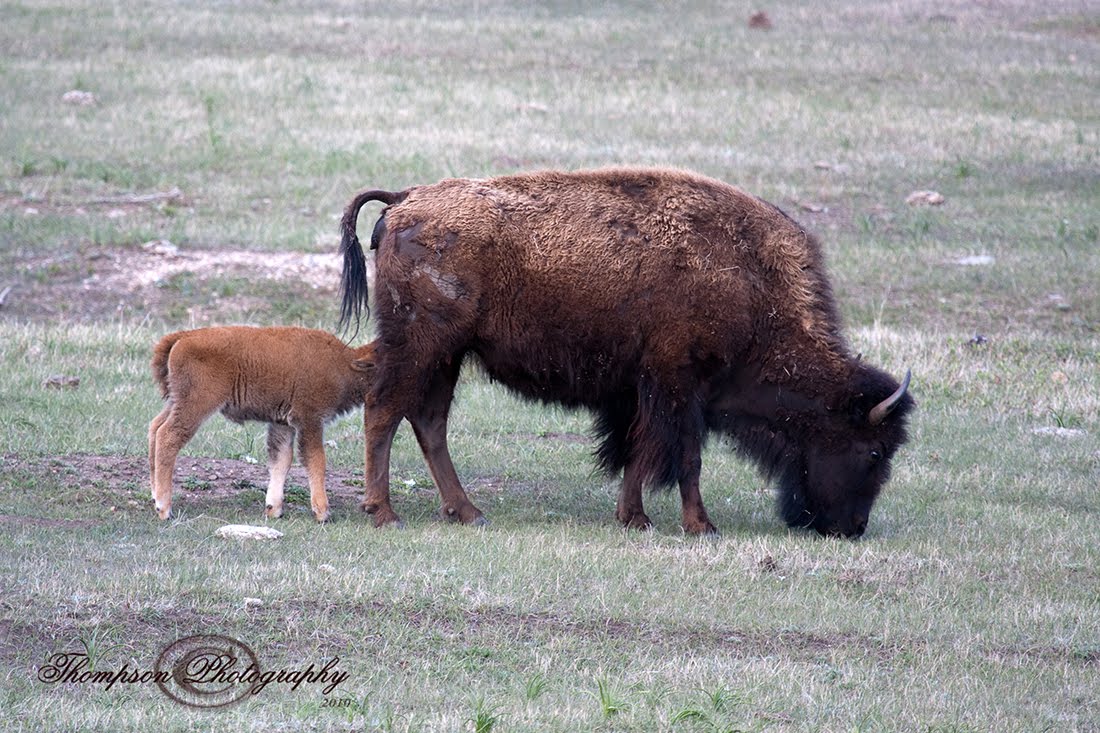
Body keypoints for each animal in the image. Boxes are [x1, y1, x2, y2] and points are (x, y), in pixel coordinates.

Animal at [339, 167, 912, 537]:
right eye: (874, 451)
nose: (852, 528)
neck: (754, 285)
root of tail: (405, 199)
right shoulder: (680, 386)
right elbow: (686, 456)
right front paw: (700, 526)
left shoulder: (646, 391)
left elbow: (640, 452)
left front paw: (635, 518)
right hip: (422, 344)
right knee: (384, 410)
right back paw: (384, 513)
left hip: (448, 354)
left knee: (428, 421)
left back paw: (468, 511)